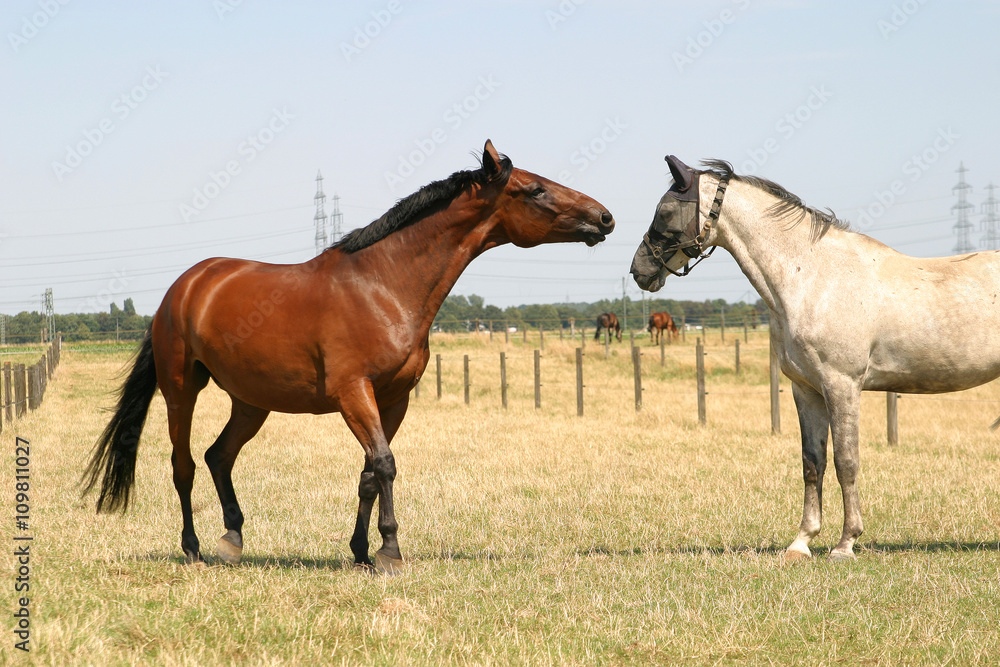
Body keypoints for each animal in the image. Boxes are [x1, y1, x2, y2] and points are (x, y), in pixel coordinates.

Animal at [82, 140, 614, 573]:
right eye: (535, 190)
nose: (605, 217)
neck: (382, 285)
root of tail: (185, 286)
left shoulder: (393, 398)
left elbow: (369, 474)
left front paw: (362, 551)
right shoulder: (353, 393)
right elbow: (384, 464)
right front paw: (390, 553)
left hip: (251, 402)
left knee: (219, 456)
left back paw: (232, 539)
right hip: (181, 392)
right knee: (184, 464)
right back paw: (192, 547)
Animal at [631, 154, 1000, 562]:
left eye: (665, 212)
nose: (639, 270)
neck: (814, 278)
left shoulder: (842, 386)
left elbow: (846, 461)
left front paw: (845, 543)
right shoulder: (806, 390)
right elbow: (813, 463)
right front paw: (802, 542)